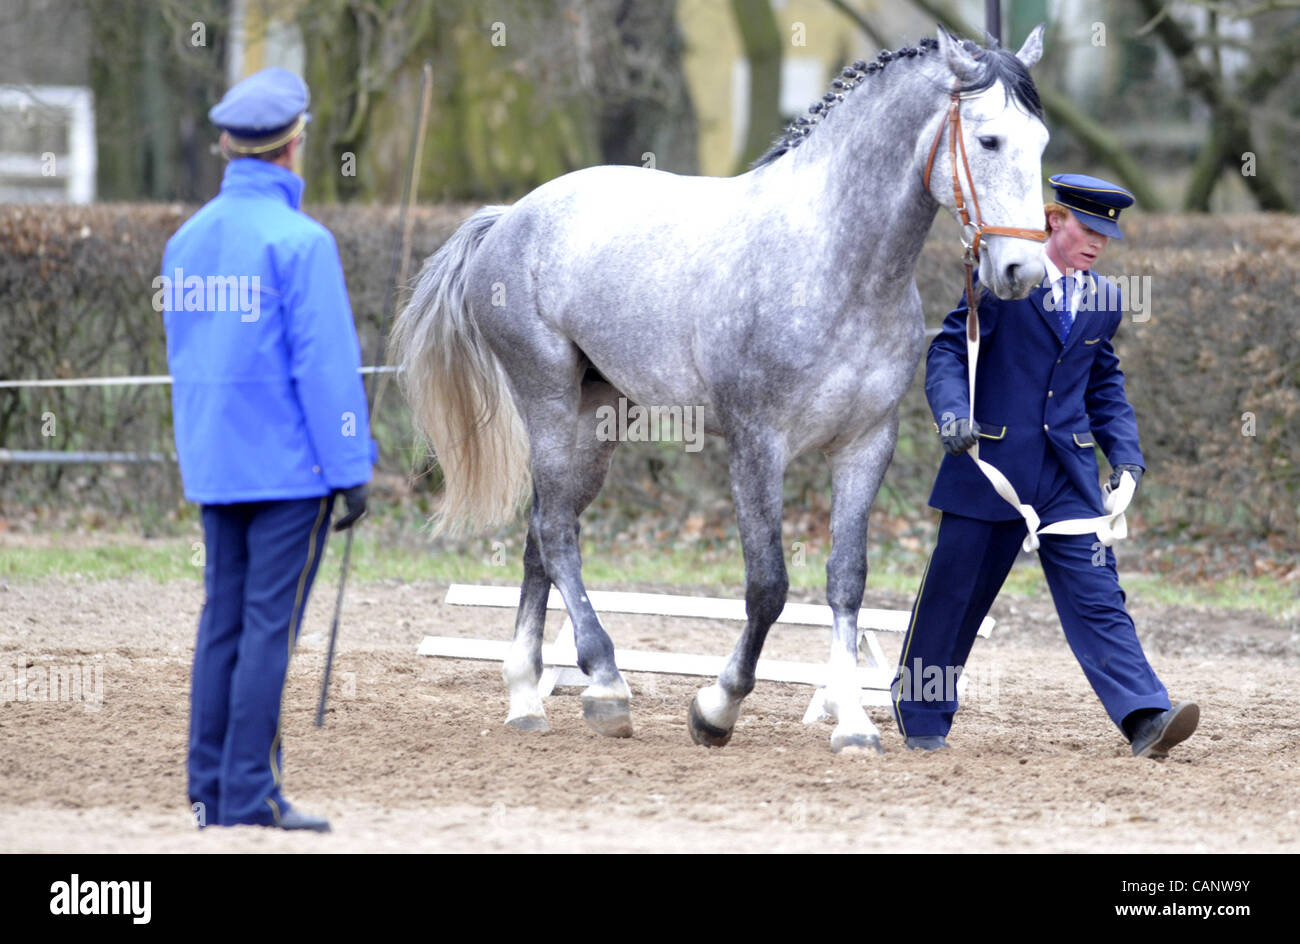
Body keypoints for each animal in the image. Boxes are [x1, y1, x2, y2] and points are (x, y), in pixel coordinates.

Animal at [392, 26, 1049, 753]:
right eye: (989, 140)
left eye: (1042, 141)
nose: (1023, 270)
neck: (834, 262)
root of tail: (510, 217)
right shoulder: (757, 447)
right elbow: (768, 586)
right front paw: (716, 708)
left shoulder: (865, 444)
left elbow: (846, 581)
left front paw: (851, 722)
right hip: (549, 402)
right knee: (556, 532)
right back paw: (606, 684)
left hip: (598, 419)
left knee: (543, 533)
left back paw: (525, 698)